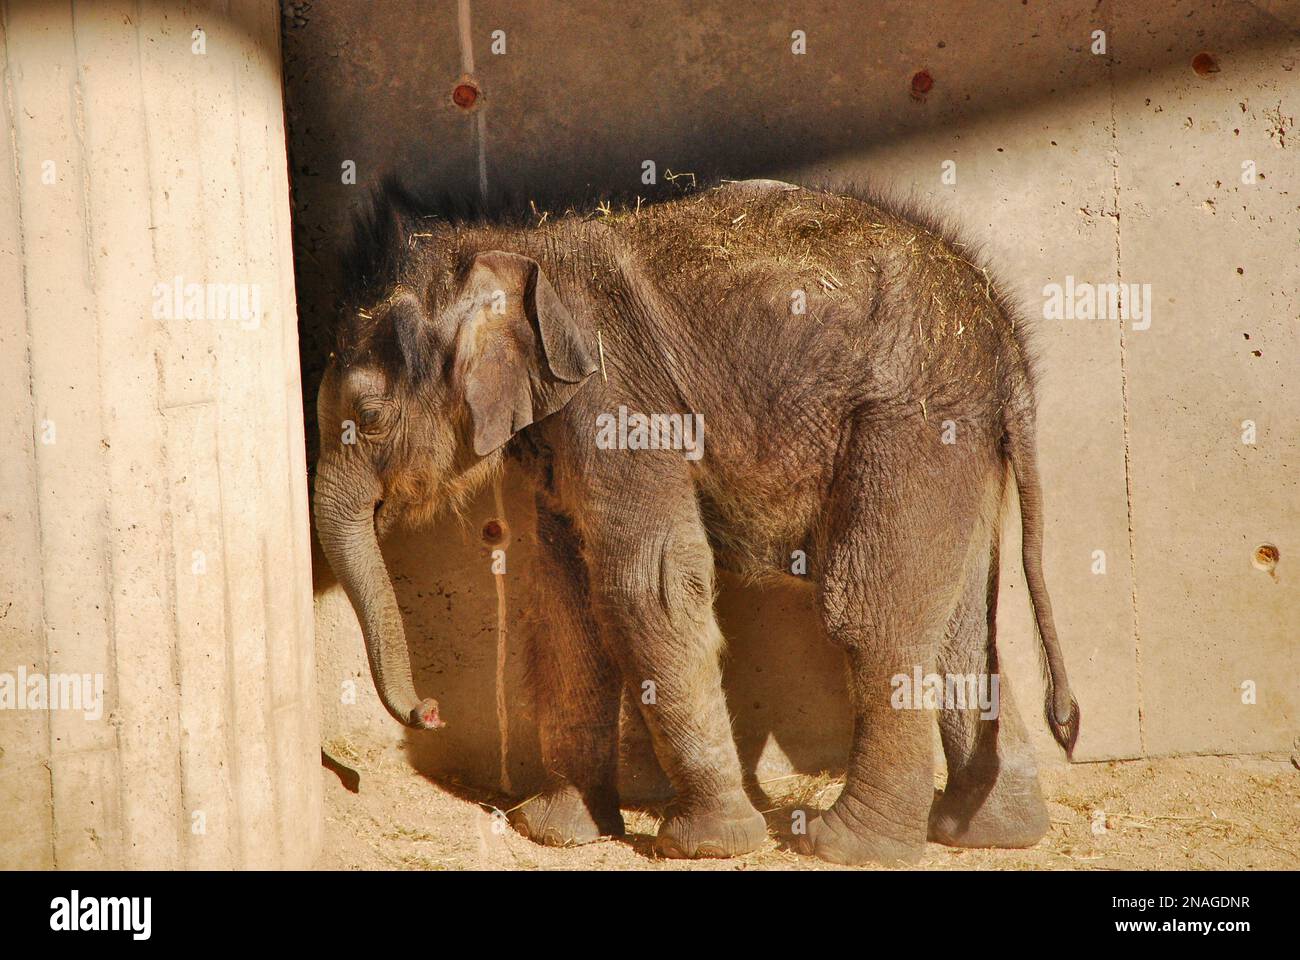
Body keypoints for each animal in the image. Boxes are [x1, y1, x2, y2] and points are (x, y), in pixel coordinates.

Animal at [311, 176, 1079, 866]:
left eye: (369, 415)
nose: (430, 711)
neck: (517, 245)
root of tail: (1006, 344)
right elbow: (568, 600)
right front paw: (556, 831)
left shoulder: (621, 402)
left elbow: (645, 587)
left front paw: (703, 845)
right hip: (962, 441)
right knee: (959, 623)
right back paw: (983, 831)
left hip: (909, 424)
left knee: (870, 615)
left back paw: (844, 845)